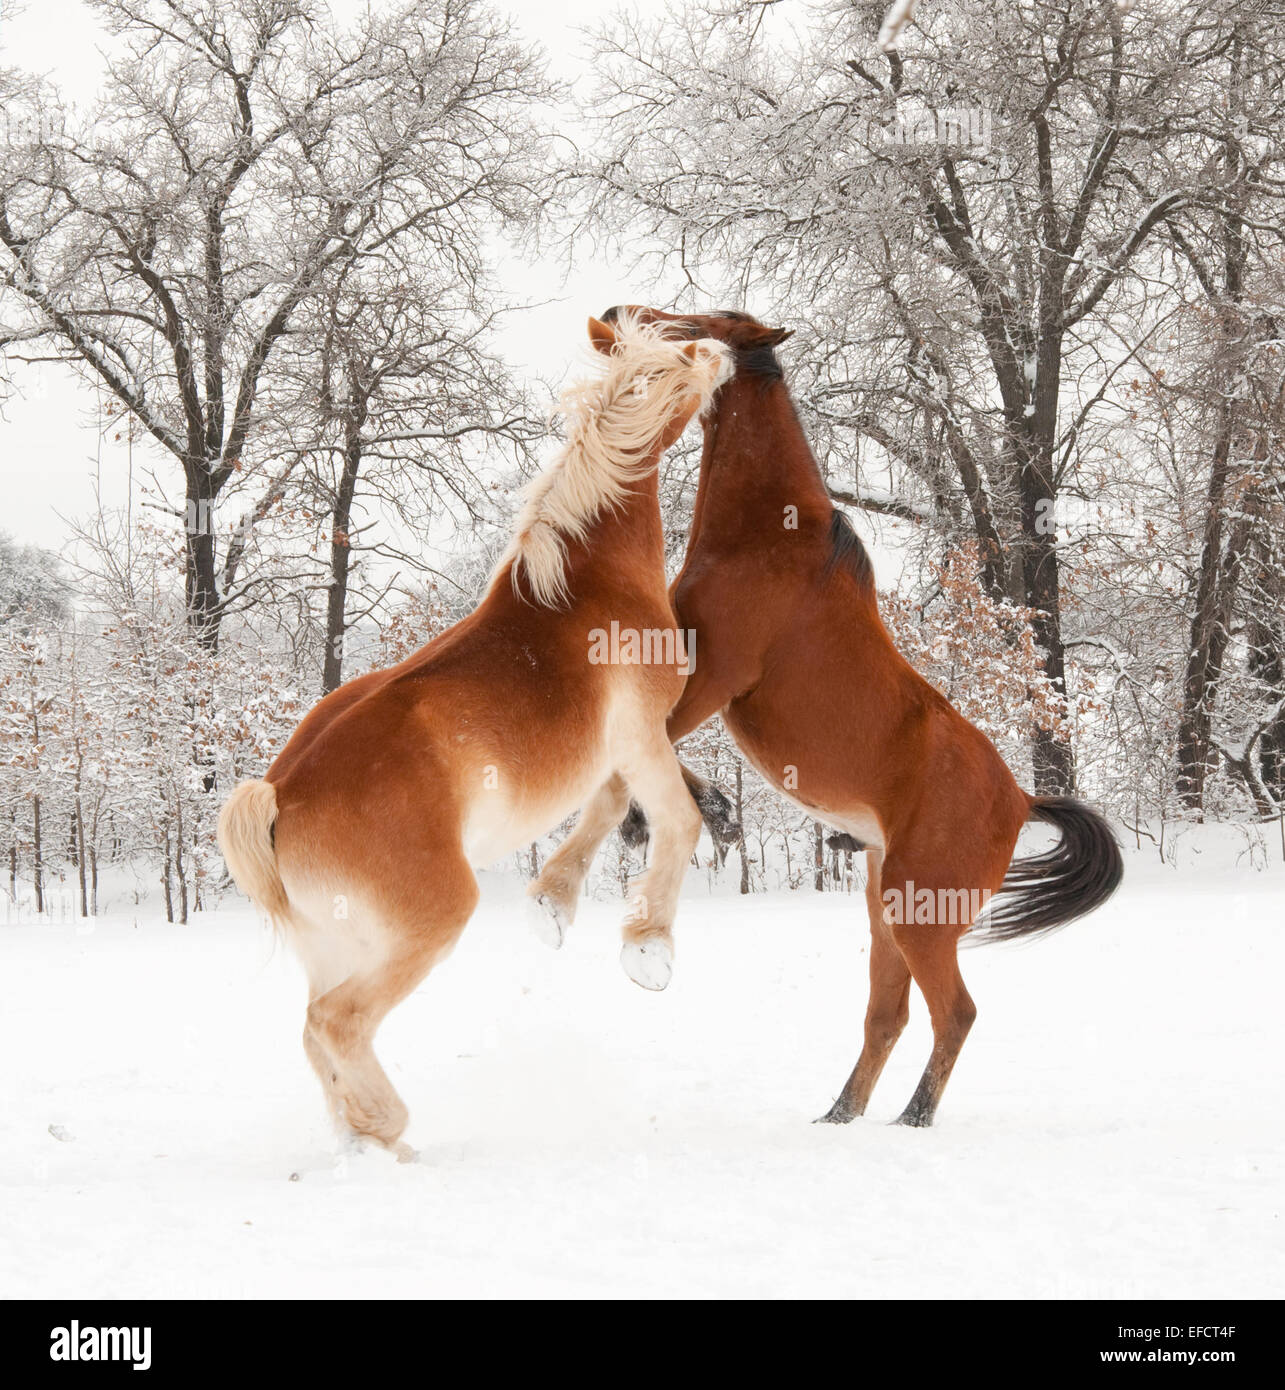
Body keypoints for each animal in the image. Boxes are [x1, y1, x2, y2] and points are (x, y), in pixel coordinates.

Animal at [218, 312, 733, 1157]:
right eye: (683, 351)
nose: (724, 352)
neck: (590, 583)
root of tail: (281, 796)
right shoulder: (641, 735)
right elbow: (678, 821)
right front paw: (648, 949)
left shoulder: (613, 754)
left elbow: (606, 811)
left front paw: (553, 906)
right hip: (426, 925)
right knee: (337, 1023)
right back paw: (393, 1132)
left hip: (337, 943)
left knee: (313, 1033)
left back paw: (368, 1142)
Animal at [529, 305, 1122, 1129]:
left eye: (696, 319)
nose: (613, 316)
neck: (764, 539)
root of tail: (1020, 799)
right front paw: (714, 812)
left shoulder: (709, 681)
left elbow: (635, 763)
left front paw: (673, 832)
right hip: (884, 909)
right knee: (888, 1017)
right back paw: (840, 1115)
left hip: (920, 909)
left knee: (954, 1013)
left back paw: (911, 1119)